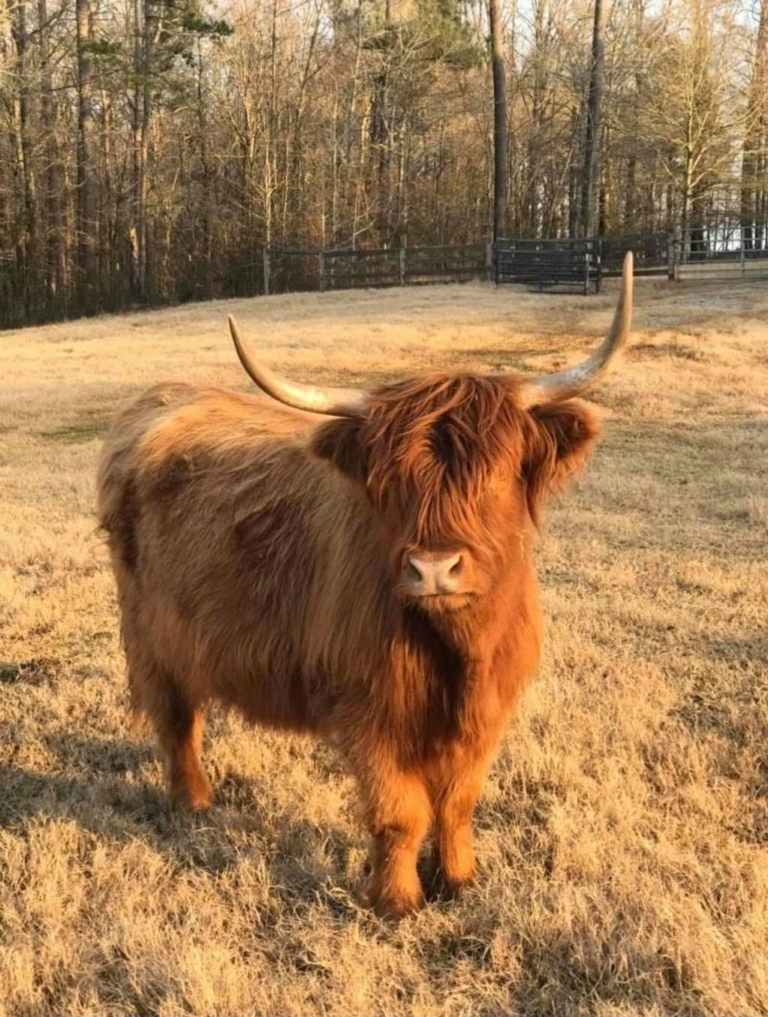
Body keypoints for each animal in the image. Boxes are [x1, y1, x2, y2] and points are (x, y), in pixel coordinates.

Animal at [97, 254, 633, 918]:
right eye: (393, 482)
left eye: (498, 474)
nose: (434, 569)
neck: (459, 650)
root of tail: (162, 397)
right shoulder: (365, 705)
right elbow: (400, 811)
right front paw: (396, 900)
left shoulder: (489, 707)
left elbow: (458, 801)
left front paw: (460, 880)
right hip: (150, 633)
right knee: (176, 719)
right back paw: (194, 804)